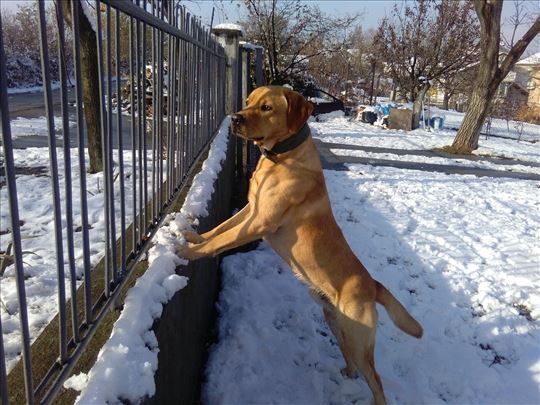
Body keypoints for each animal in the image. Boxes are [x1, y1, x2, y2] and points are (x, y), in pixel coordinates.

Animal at [177, 86, 422, 404]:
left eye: (267, 107)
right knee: (352, 362)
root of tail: (372, 284)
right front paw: (195, 237)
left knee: (376, 381)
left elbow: (220, 241)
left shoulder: (260, 222)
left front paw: (188, 252)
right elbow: (220, 230)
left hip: (358, 339)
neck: (281, 157)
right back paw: (346, 375)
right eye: (248, 101)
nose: (234, 118)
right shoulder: (252, 209)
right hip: (337, 324)